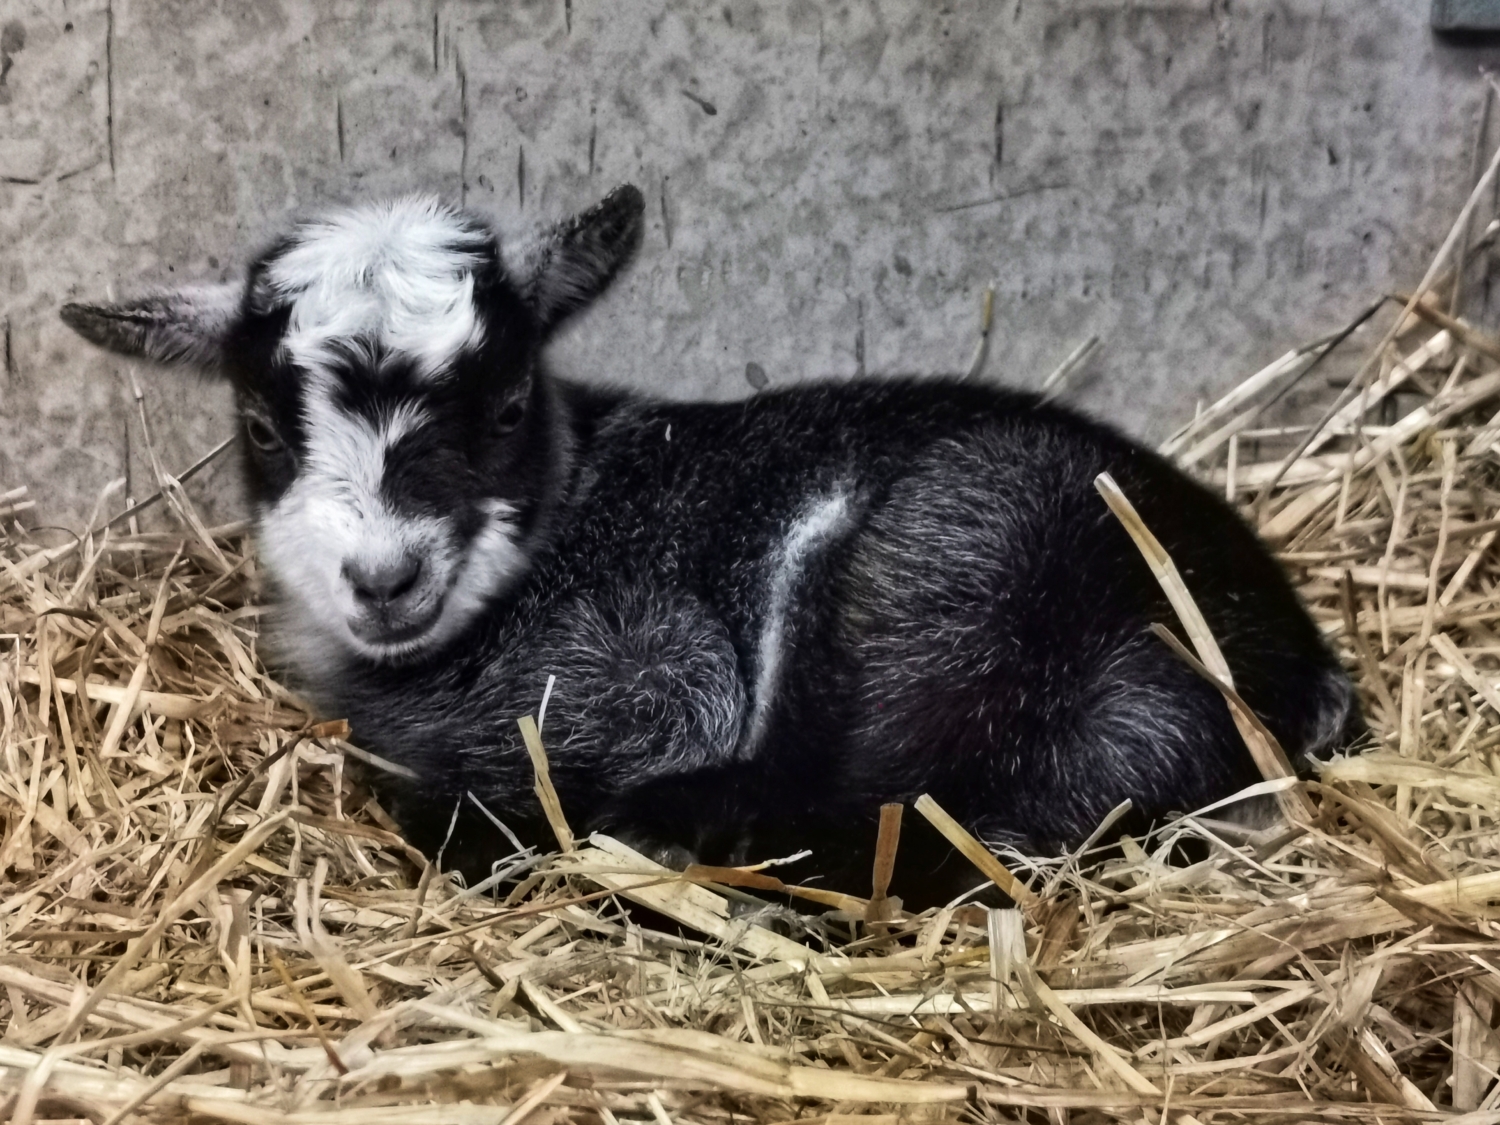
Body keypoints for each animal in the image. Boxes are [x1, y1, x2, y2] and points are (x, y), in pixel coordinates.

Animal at [60, 185, 1360, 906]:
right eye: (262, 425)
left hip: (946, 582)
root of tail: (1288, 668)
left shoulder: (654, 672)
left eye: (509, 406)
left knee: (876, 823)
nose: (387, 577)